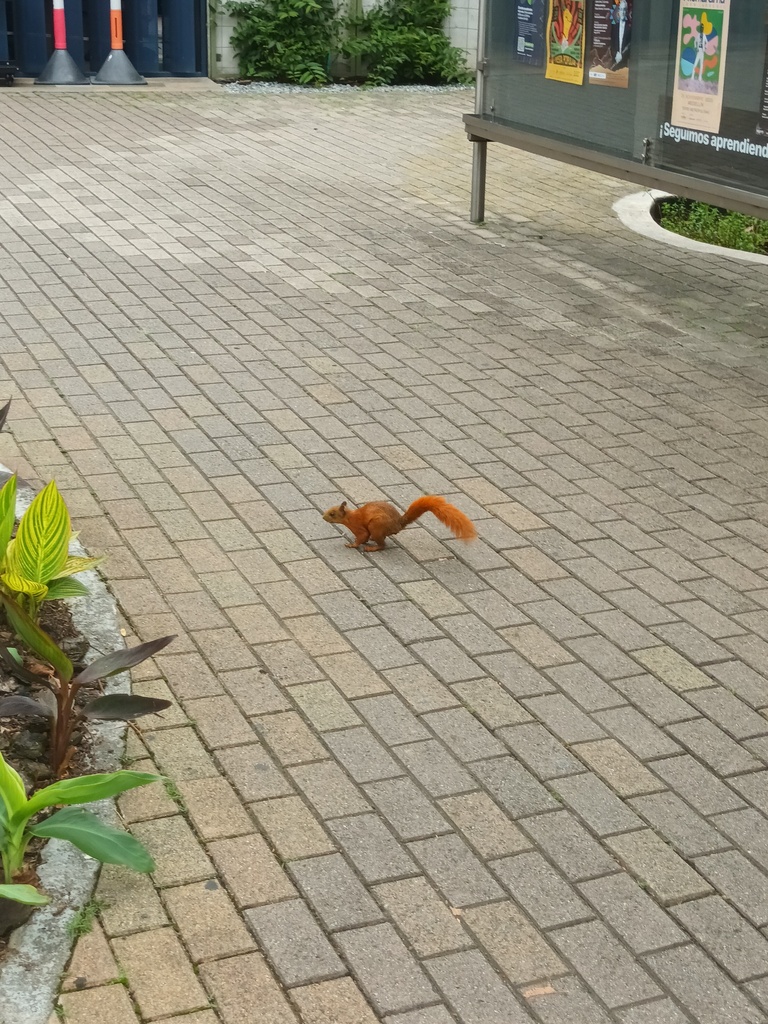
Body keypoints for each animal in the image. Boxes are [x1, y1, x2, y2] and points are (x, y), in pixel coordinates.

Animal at [323, 495, 477, 552]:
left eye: (332, 514)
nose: (323, 517)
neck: (351, 517)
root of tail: (398, 524)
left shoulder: (359, 527)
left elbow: (362, 536)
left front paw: (352, 545)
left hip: (376, 526)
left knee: (382, 545)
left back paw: (372, 547)